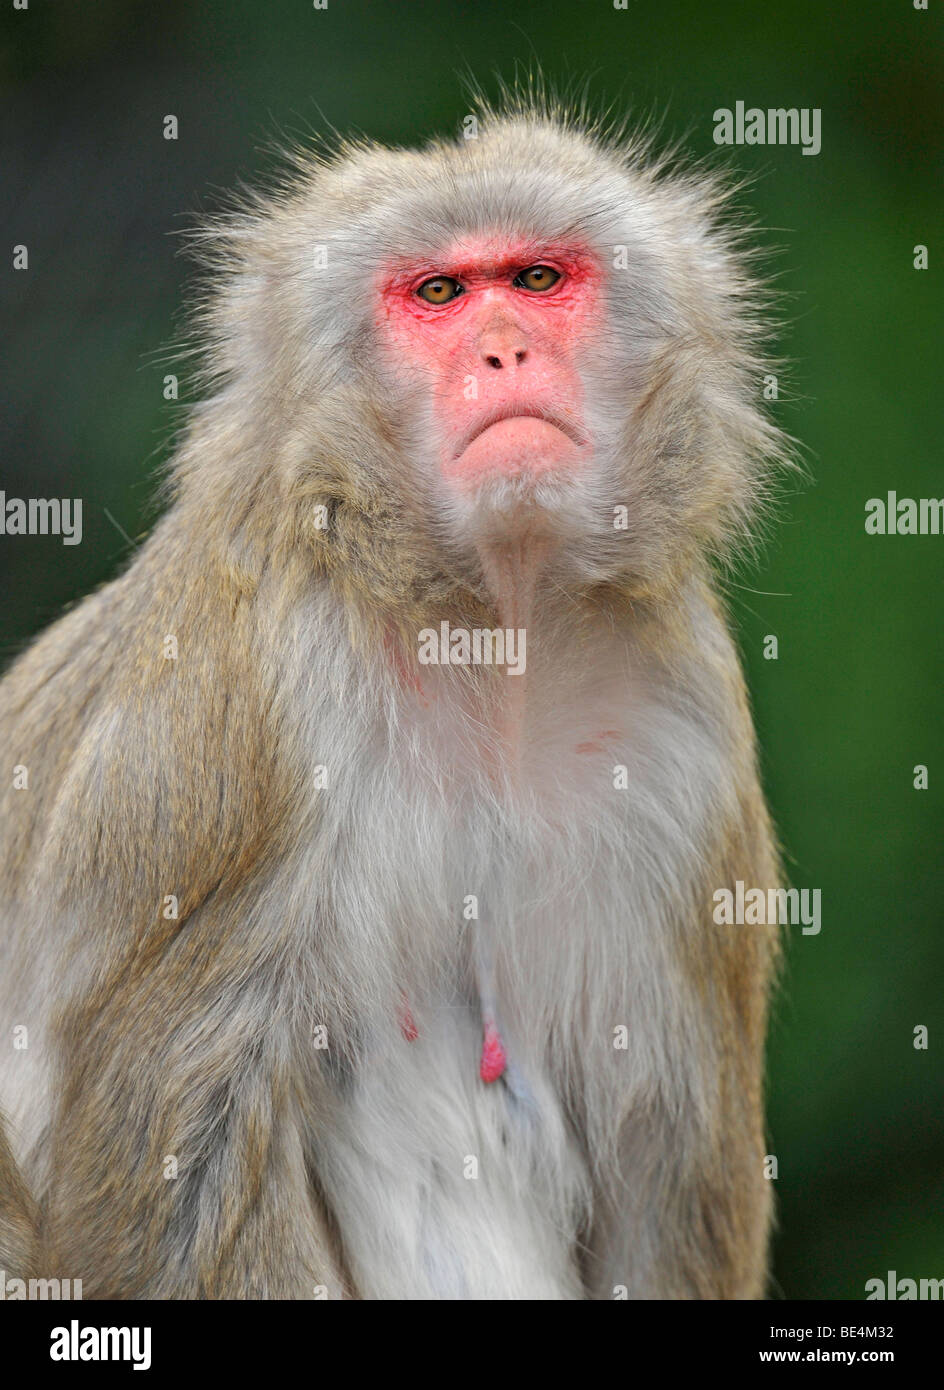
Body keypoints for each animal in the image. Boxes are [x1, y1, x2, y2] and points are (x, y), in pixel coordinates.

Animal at [0, 95, 790, 1300]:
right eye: (439, 295)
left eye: (537, 279)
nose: (505, 349)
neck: (487, 624)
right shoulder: (263, 710)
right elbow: (176, 1161)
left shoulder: (684, 725)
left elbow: (664, 1170)